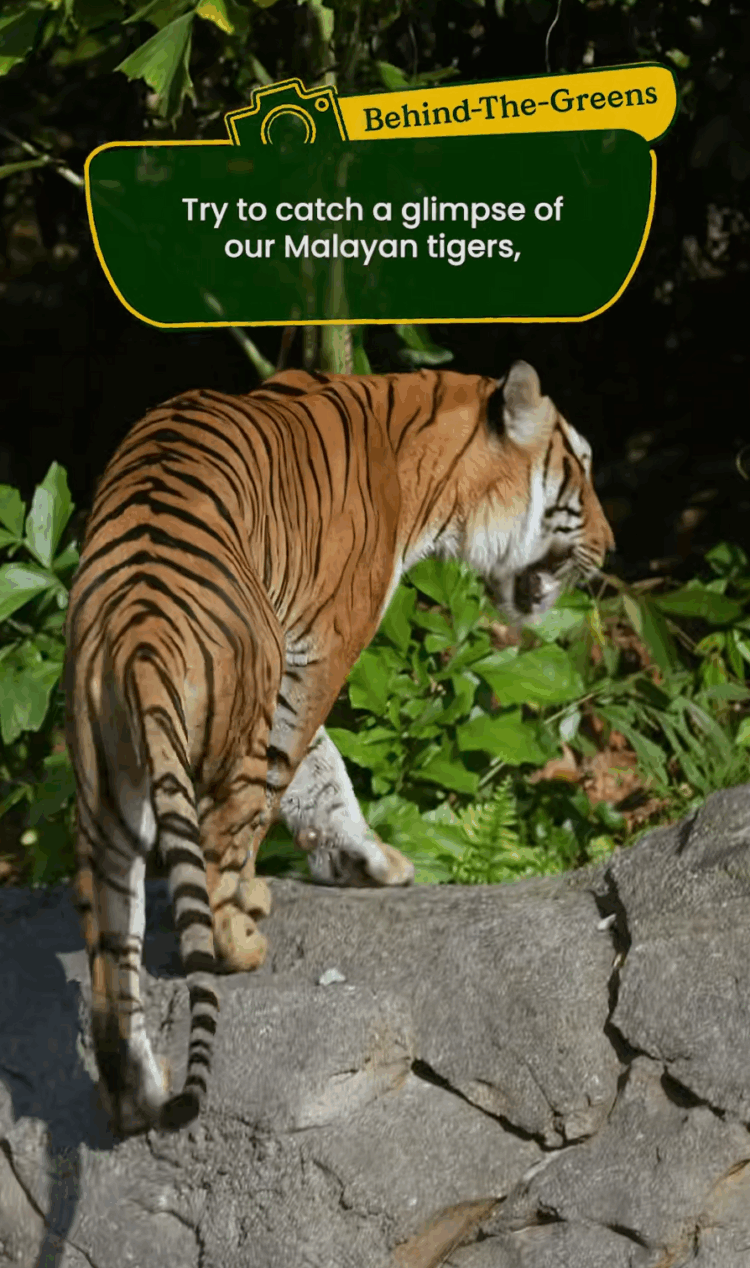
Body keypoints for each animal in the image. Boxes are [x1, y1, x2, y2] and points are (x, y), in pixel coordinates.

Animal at [64, 359, 614, 1135]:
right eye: (581, 472)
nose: (613, 545)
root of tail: (140, 629)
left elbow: (319, 769)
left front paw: (365, 860)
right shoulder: (321, 648)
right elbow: (298, 766)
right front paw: (321, 871)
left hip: (105, 783)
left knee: (112, 953)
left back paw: (135, 1095)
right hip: (232, 711)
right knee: (219, 838)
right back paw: (241, 942)